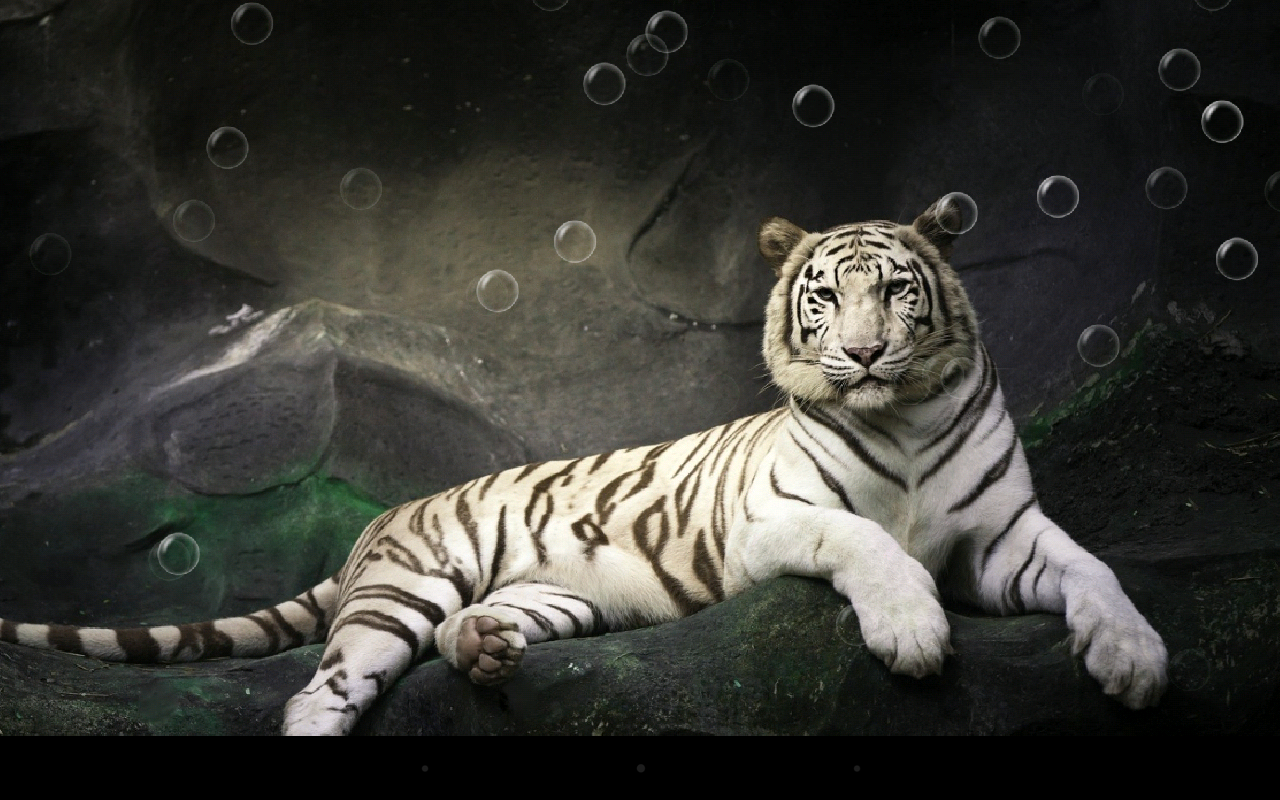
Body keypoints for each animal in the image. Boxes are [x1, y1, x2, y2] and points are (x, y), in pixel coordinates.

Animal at [0, 198, 1168, 735]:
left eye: (897, 291)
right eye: (824, 297)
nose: (866, 352)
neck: (908, 419)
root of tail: (382, 518)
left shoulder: (1006, 537)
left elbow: (1096, 569)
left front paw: (1135, 659)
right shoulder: (772, 520)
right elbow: (868, 539)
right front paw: (914, 632)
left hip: (556, 595)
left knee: (479, 628)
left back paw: (484, 651)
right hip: (398, 596)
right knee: (318, 694)